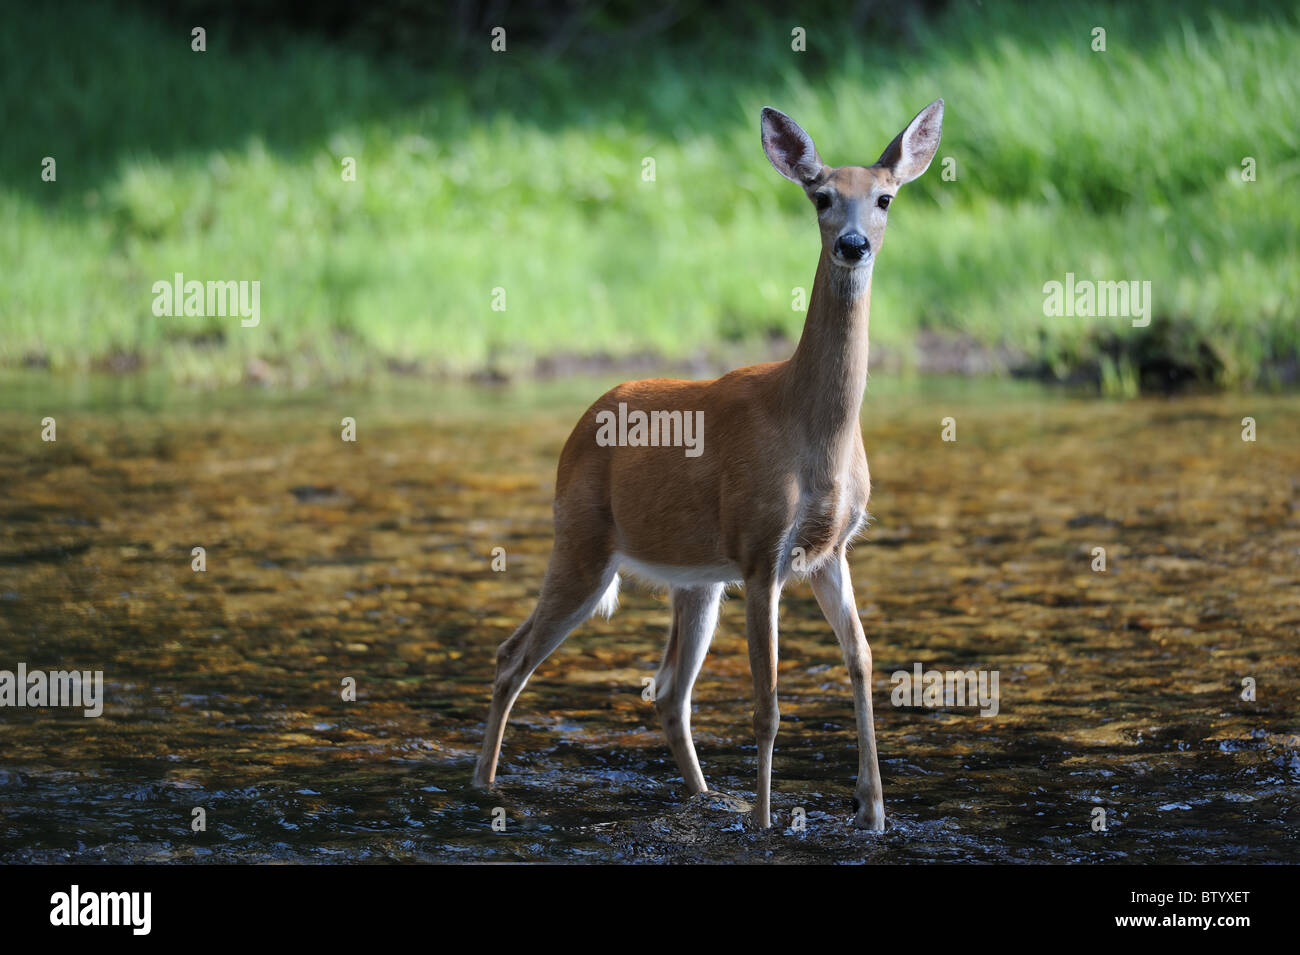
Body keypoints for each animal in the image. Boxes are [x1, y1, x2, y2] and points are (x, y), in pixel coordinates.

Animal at [472, 99, 945, 831]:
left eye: (885, 198)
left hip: (693, 579)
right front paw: (766, 822)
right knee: (511, 657)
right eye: (821, 197)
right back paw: (483, 787)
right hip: (581, 542)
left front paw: (871, 812)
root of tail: (577, 427)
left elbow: (863, 660)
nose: (852, 245)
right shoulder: (759, 550)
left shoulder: (831, 550)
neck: (813, 429)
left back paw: (705, 796)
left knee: (668, 690)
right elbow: (768, 702)